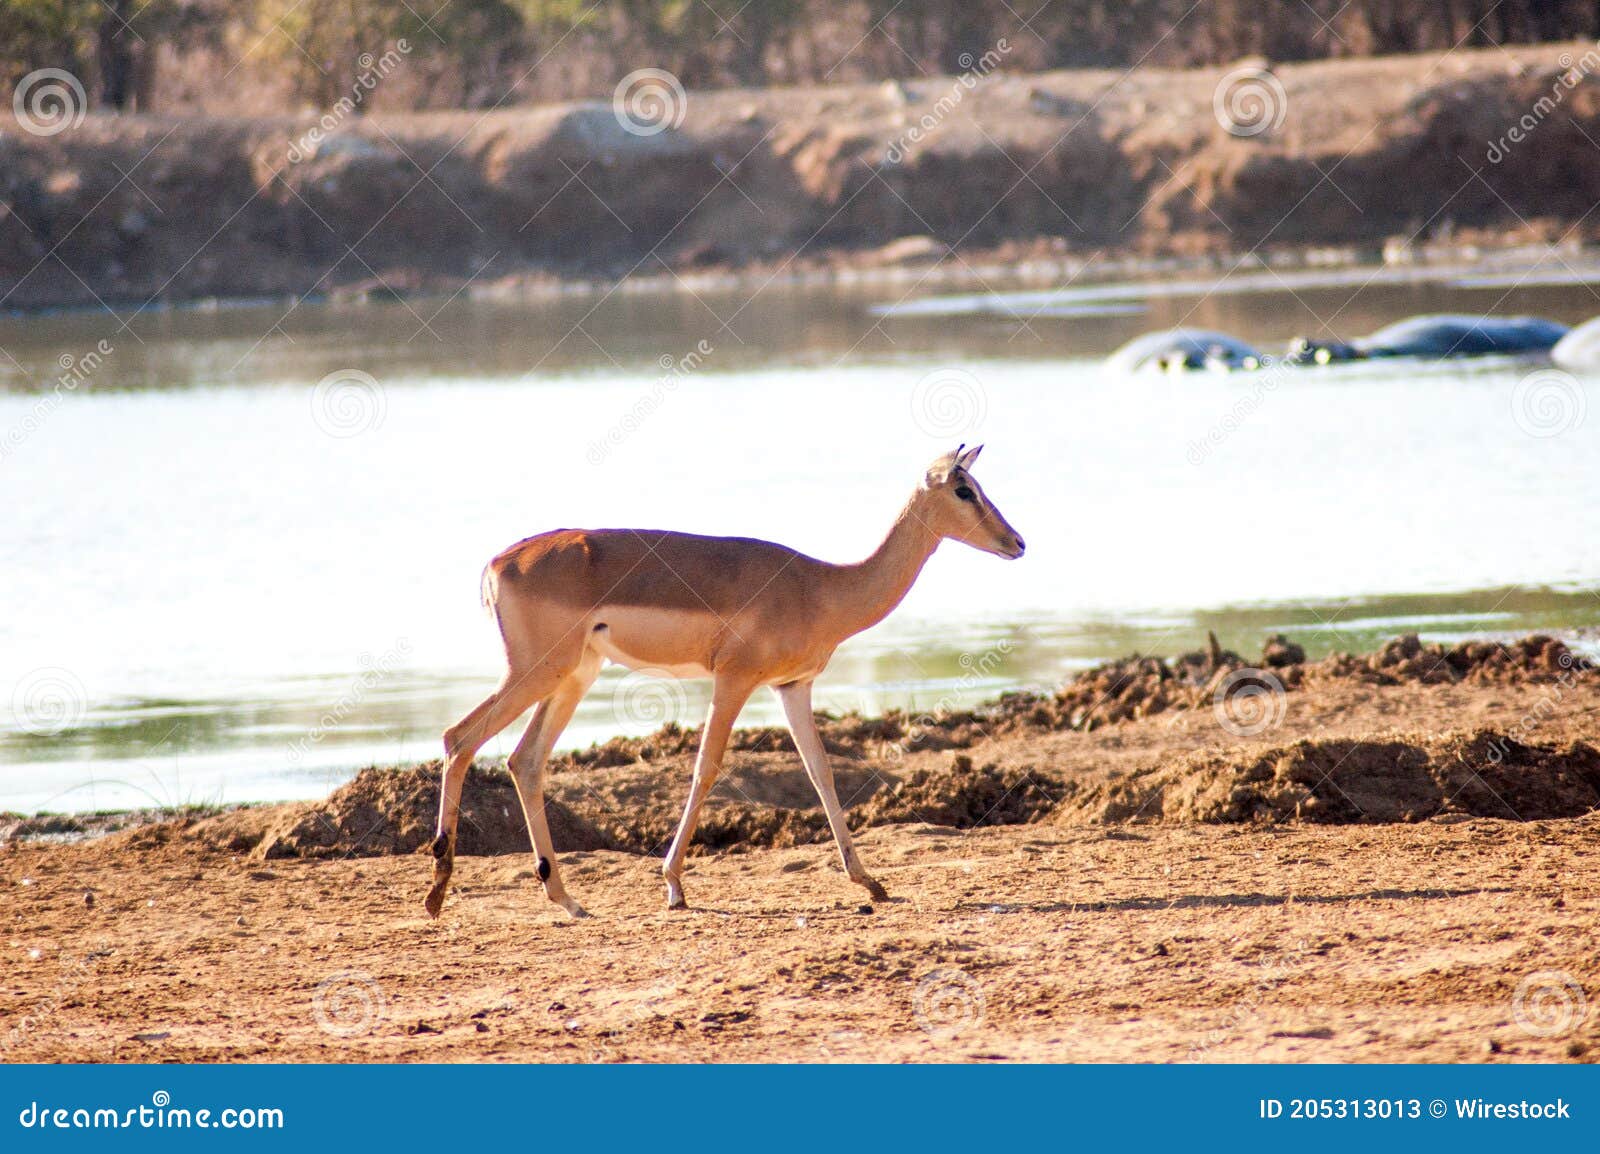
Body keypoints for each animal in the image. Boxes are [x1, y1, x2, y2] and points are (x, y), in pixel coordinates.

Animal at [425, 444, 1025, 919]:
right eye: (964, 488)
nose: (1017, 542)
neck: (822, 587)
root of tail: (499, 562)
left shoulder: (793, 687)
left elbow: (821, 771)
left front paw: (870, 882)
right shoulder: (734, 680)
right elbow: (705, 768)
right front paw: (673, 887)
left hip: (573, 677)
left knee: (523, 760)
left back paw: (566, 900)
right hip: (535, 672)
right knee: (459, 738)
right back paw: (436, 892)